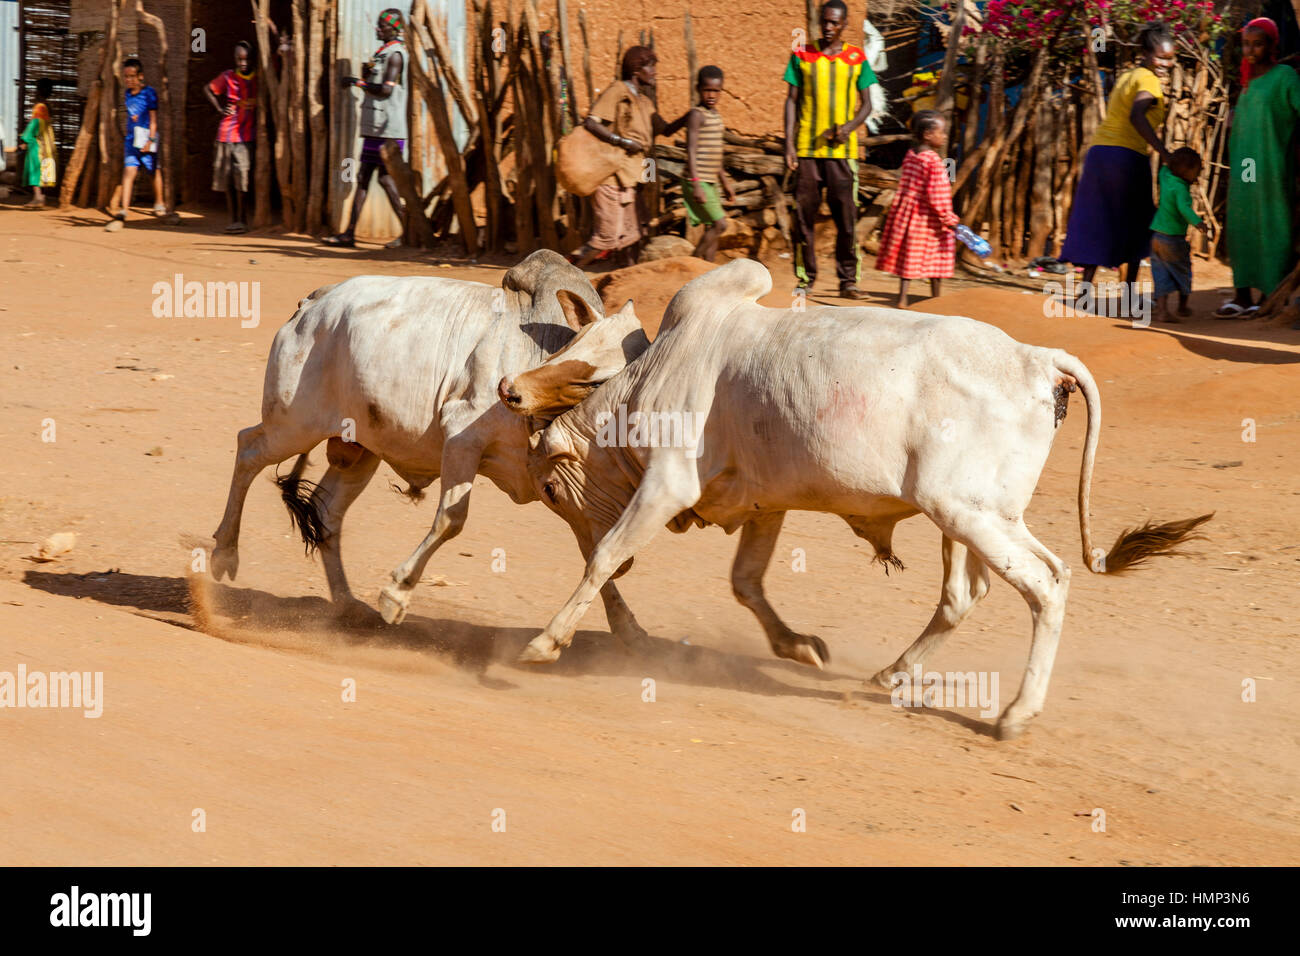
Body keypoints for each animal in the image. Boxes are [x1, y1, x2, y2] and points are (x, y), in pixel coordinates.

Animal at [210, 250, 651, 643]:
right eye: (587, 367)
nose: (509, 390)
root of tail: (314, 302)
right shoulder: (462, 436)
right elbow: (451, 520)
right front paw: (397, 594)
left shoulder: (566, 496)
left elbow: (595, 548)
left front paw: (628, 628)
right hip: (292, 425)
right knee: (247, 450)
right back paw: (223, 555)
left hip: (359, 451)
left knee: (325, 513)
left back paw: (347, 604)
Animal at [496, 259, 1211, 739]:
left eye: (553, 489)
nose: (508, 388)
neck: (645, 379)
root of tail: (1038, 359)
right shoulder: (765, 503)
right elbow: (746, 583)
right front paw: (798, 647)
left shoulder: (668, 484)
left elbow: (603, 557)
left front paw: (543, 644)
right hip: (976, 516)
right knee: (971, 593)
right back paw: (891, 675)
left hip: (968, 513)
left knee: (1047, 583)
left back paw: (1014, 713)